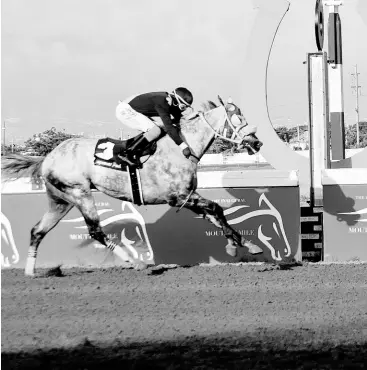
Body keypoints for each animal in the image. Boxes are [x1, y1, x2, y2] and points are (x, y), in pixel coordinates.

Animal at [0, 97, 264, 276]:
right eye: (239, 119)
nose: (257, 142)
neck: (182, 147)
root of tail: (48, 157)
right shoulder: (177, 197)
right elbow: (216, 209)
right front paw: (237, 245)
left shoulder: (189, 197)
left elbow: (216, 214)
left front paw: (244, 244)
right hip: (80, 192)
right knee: (94, 230)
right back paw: (136, 263)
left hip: (61, 200)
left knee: (38, 231)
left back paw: (30, 272)